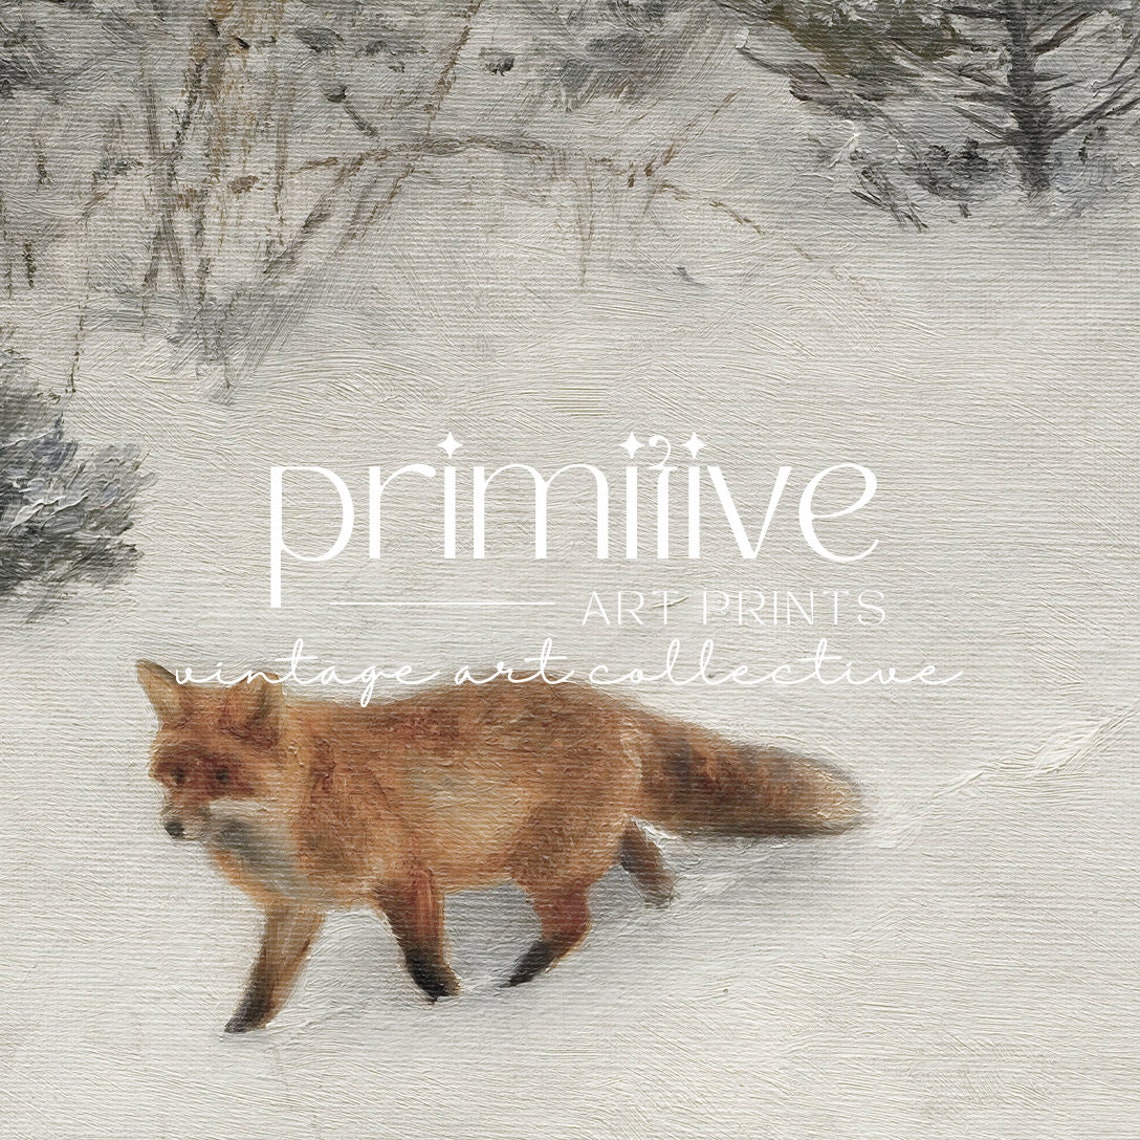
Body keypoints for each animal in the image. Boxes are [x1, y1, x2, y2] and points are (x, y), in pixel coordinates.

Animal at [138, 660, 862, 1033]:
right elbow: (263, 991)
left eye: (221, 776)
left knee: (576, 922)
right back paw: (663, 908)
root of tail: (608, 702)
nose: (172, 827)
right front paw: (237, 1044)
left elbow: (426, 967)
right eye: (172, 775)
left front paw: (453, 1017)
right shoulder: (295, 908)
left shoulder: (407, 877)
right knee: (637, 846)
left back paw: (521, 984)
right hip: (571, 843)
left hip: (542, 862)